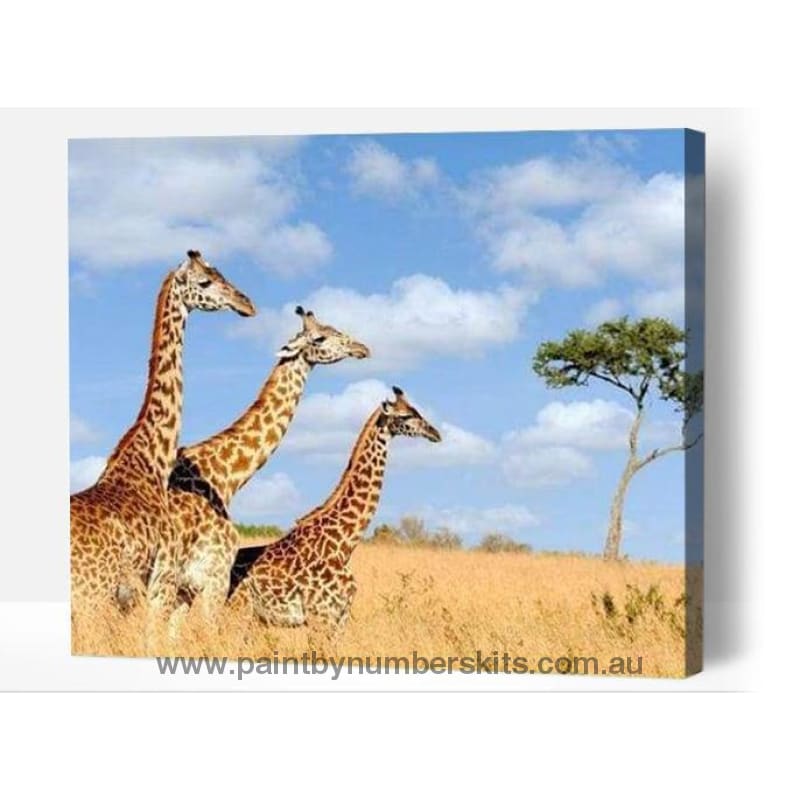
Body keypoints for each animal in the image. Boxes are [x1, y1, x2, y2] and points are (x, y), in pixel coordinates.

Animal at [70, 251, 256, 630]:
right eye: (205, 282)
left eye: (222, 273)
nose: (246, 303)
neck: (151, 460)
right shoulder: (162, 574)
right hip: (91, 598)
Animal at [227, 386, 441, 648]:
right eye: (405, 415)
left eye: (416, 410)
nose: (435, 433)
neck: (344, 544)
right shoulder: (321, 617)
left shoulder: (341, 619)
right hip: (237, 611)